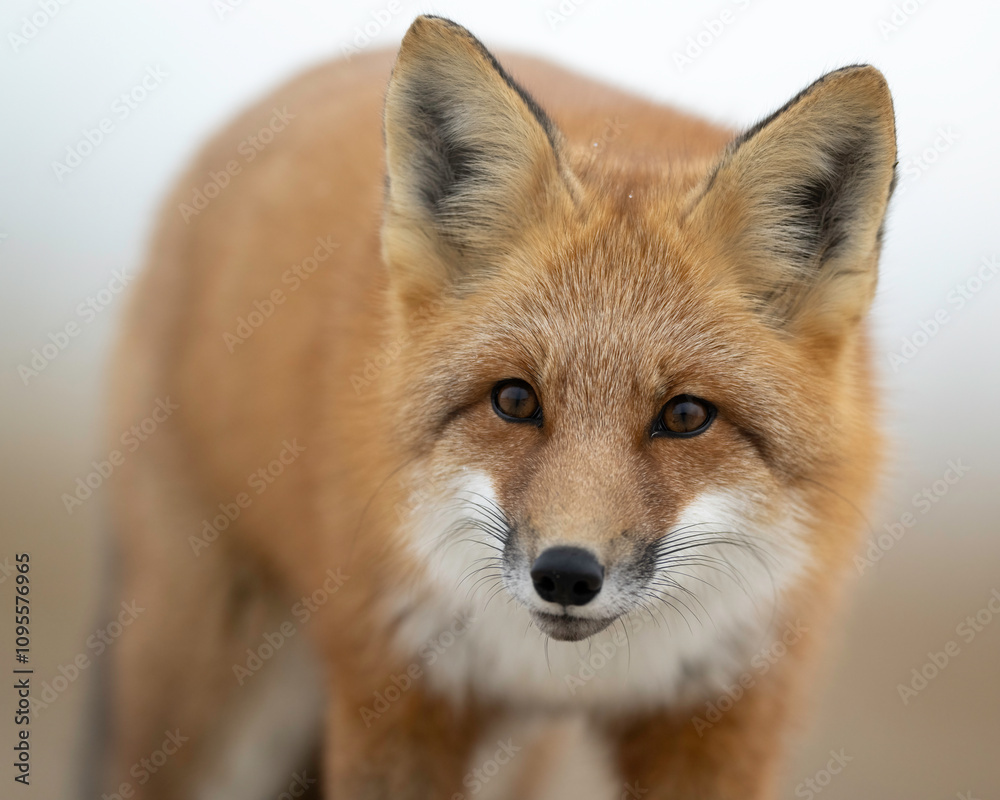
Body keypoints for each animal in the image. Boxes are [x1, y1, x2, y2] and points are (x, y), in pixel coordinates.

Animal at [102, 14, 896, 800]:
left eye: (685, 416)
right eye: (515, 399)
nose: (567, 575)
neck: (578, 676)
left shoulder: (723, 713)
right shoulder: (394, 688)